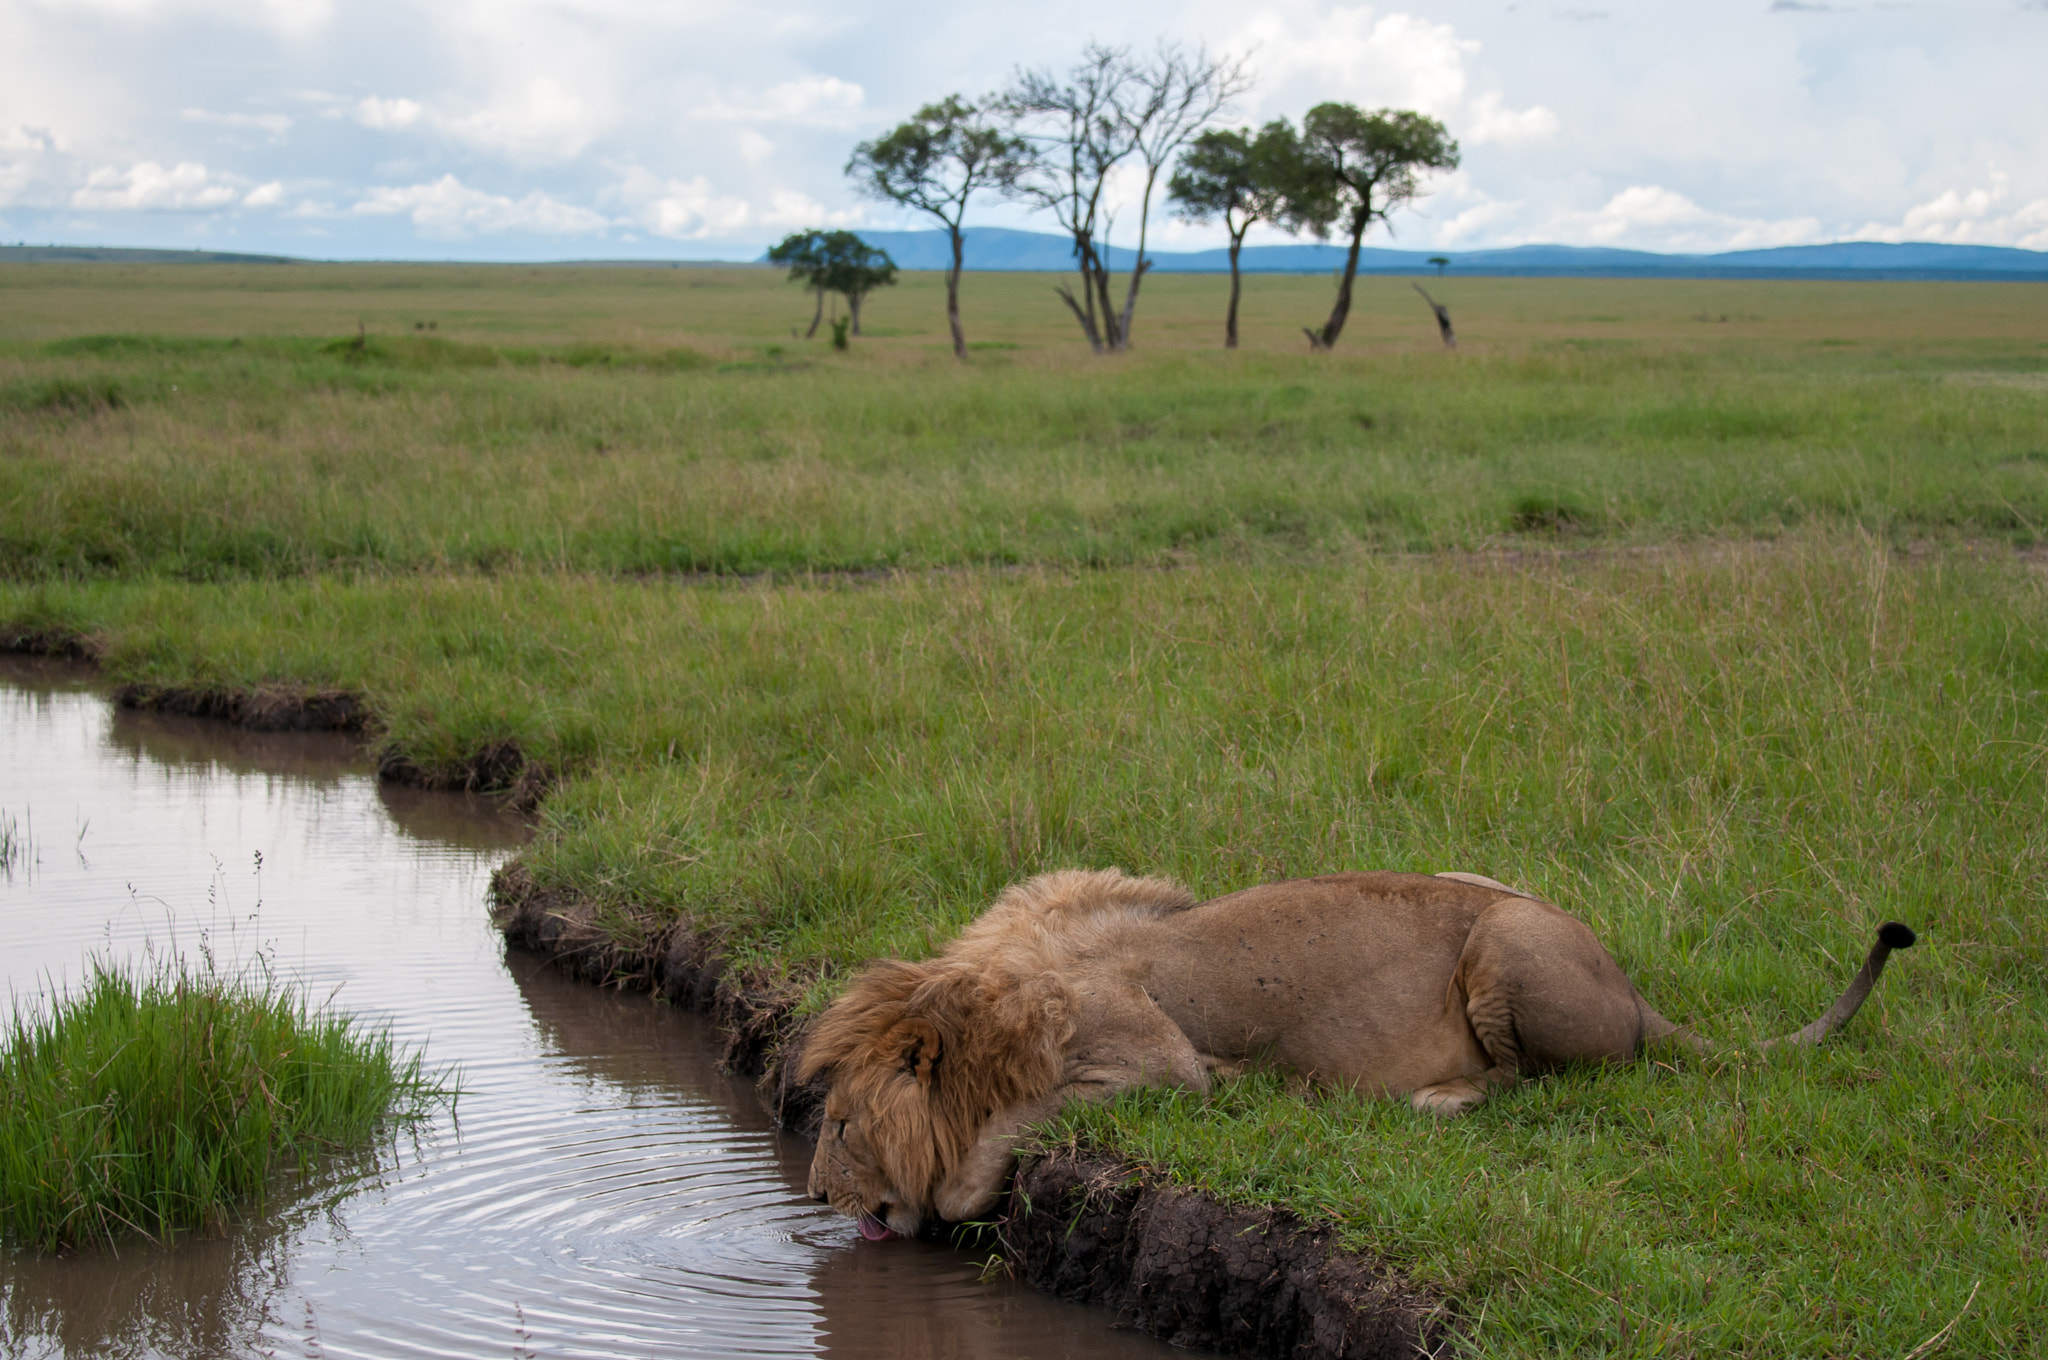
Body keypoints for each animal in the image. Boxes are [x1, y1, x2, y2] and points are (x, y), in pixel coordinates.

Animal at [799, 868, 1915, 1241]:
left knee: (1529, 1081)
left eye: (842, 1127)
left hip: (1505, 938)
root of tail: (1633, 985)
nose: (807, 1196)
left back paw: (1436, 1099)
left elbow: (1021, 1120)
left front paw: (954, 1189)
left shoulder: (1157, 1066)